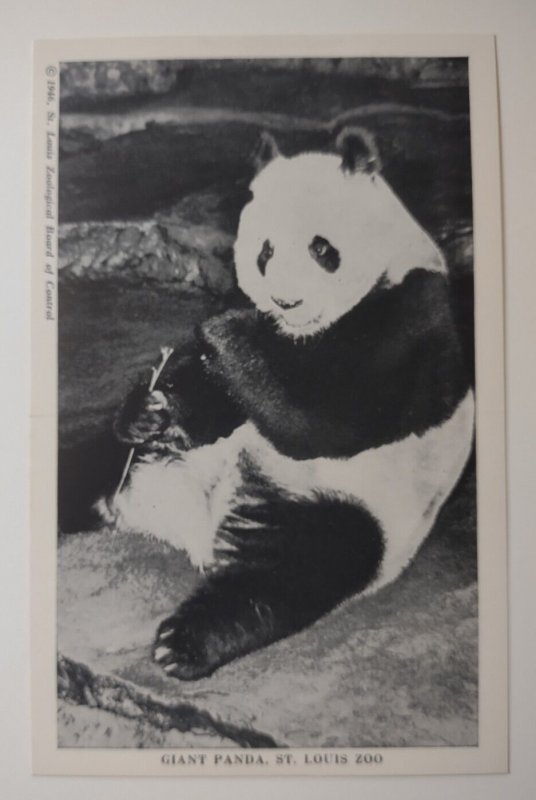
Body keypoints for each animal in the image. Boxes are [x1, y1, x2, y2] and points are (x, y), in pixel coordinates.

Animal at [69, 127, 474, 681]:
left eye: (322, 248)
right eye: (264, 251)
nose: (286, 302)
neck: (298, 334)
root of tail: (187, 523)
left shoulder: (411, 320)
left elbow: (327, 413)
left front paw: (224, 332)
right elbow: (215, 400)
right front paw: (151, 410)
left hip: (346, 506)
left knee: (289, 573)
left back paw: (185, 644)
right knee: (87, 463)